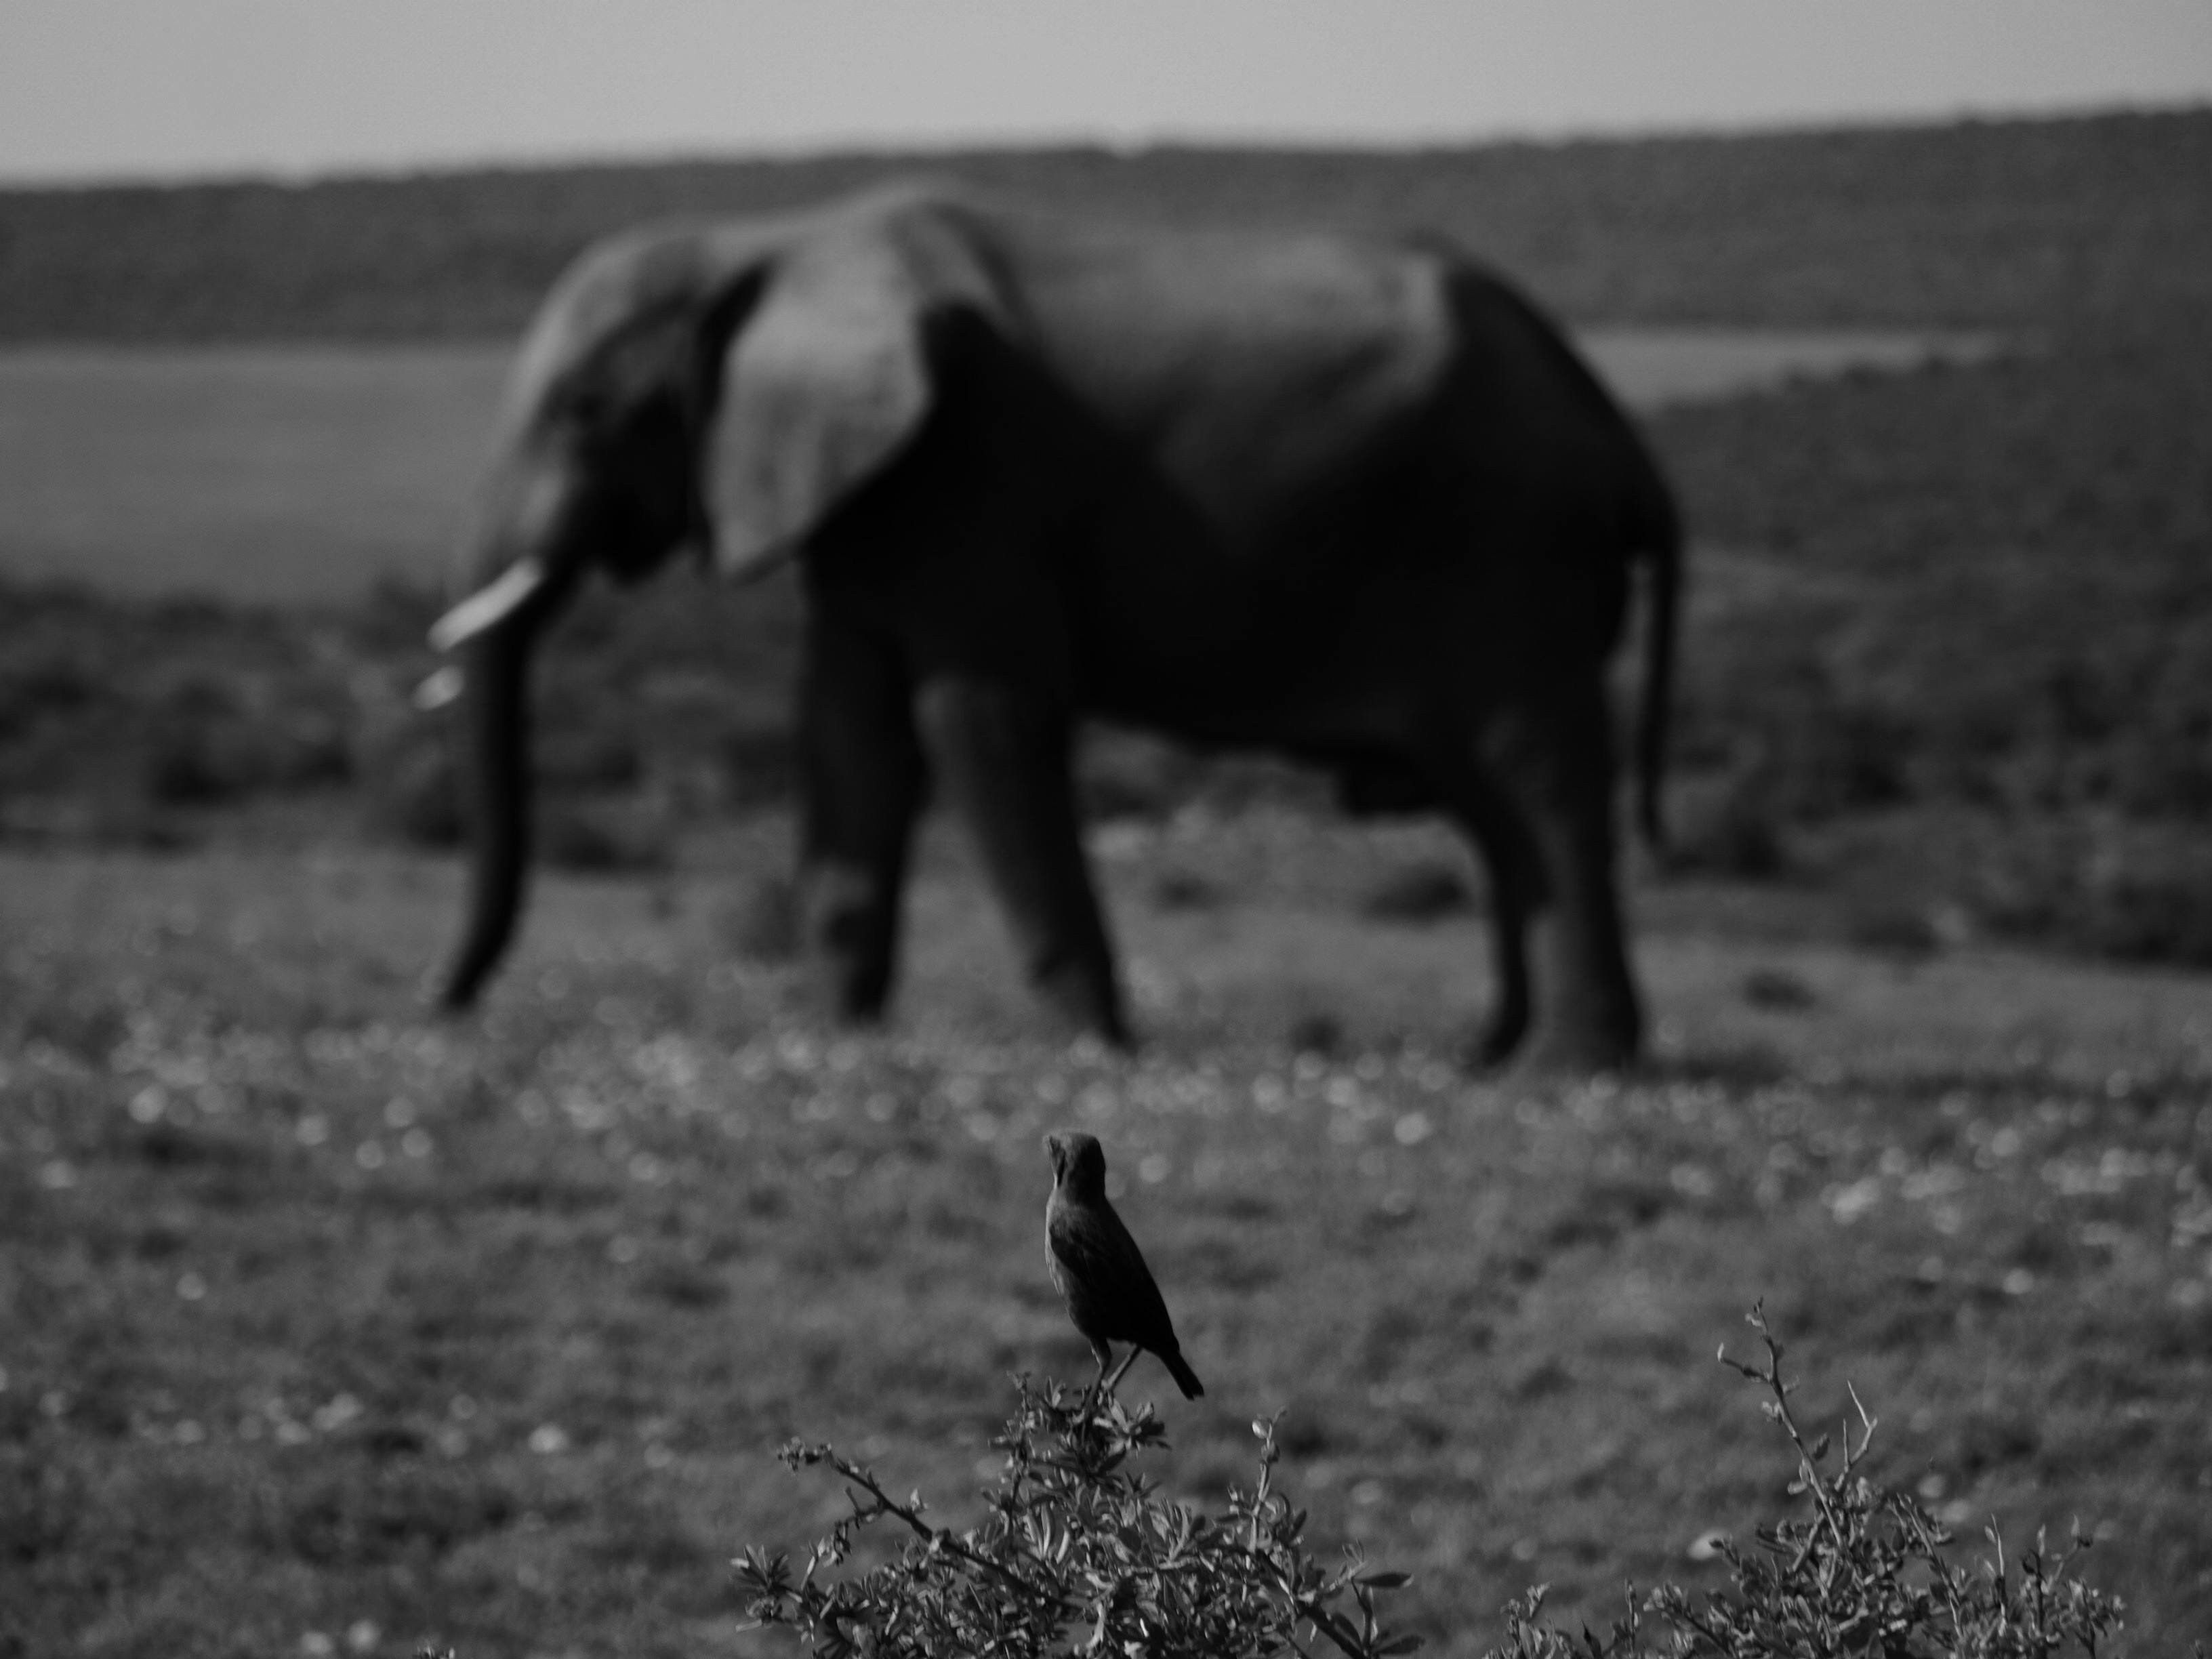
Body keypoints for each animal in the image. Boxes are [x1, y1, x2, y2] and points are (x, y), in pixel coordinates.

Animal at [426, 180, 1681, 1073]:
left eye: (584, 409)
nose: (445, 1011)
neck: (769, 242)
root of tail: (1618, 433)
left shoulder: (967, 472)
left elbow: (978, 716)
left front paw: (1089, 1051)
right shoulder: (867, 497)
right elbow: (844, 730)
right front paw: (829, 1042)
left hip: (1508, 552)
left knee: (1535, 771)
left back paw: (1569, 1072)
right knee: (1488, 804)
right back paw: (1487, 1058)